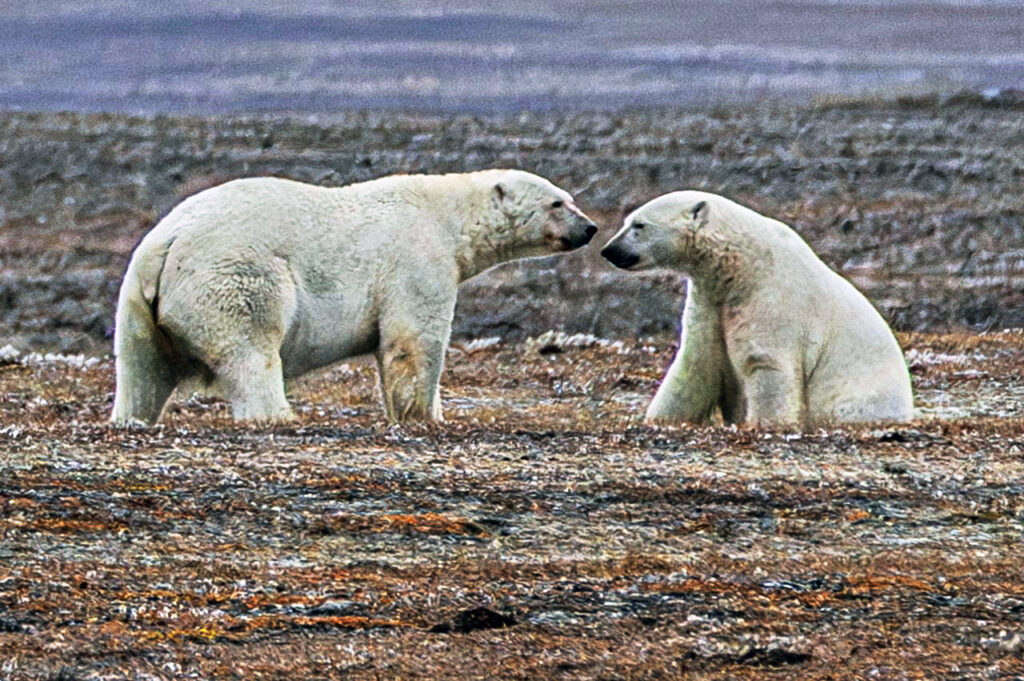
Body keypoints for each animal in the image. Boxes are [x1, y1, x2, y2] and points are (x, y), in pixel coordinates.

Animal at [111, 169, 598, 426]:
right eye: (558, 203)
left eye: (570, 198)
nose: (590, 228)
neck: (447, 215)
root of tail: (167, 241)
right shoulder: (416, 259)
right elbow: (413, 341)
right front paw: (423, 415)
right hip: (234, 275)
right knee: (251, 347)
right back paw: (279, 415)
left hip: (137, 300)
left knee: (140, 368)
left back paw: (130, 417)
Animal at [600, 190, 913, 427]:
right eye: (627, 221)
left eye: (639, 225)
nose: (608, 250)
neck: (741, 265)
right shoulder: (710, 301)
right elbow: (695, 364)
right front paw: (659, 419)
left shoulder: (771, 296)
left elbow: (764, 360)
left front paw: (762, 424)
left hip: (858, 397)